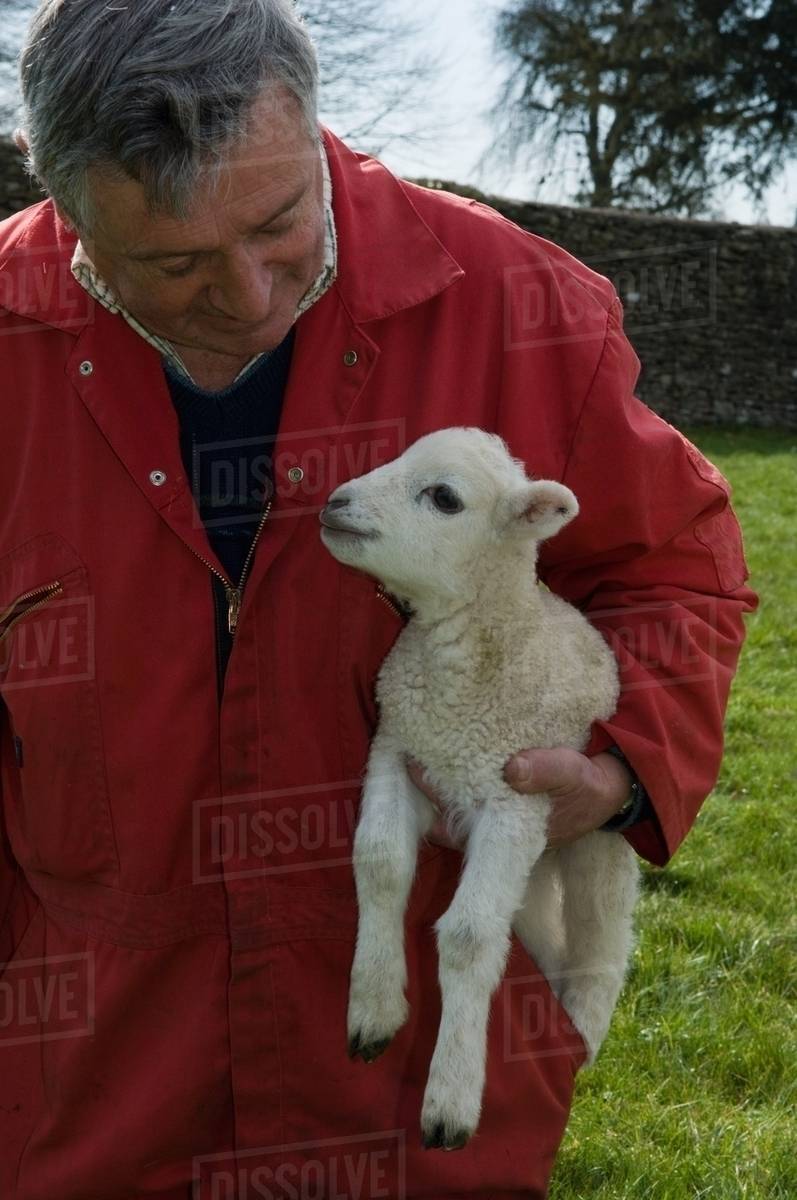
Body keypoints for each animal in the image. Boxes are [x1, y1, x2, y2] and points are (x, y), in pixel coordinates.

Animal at [319, 427, 639, 1152]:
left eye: (444, 498)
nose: (334, 503)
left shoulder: (513, 798)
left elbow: (466, 936)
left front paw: (450, 1101)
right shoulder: (397, 748)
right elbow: (378, 864)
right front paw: (374, 1006)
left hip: (592, 841)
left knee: (601, 945)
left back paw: (580, 1036)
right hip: (534, 865)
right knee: (541, 935)